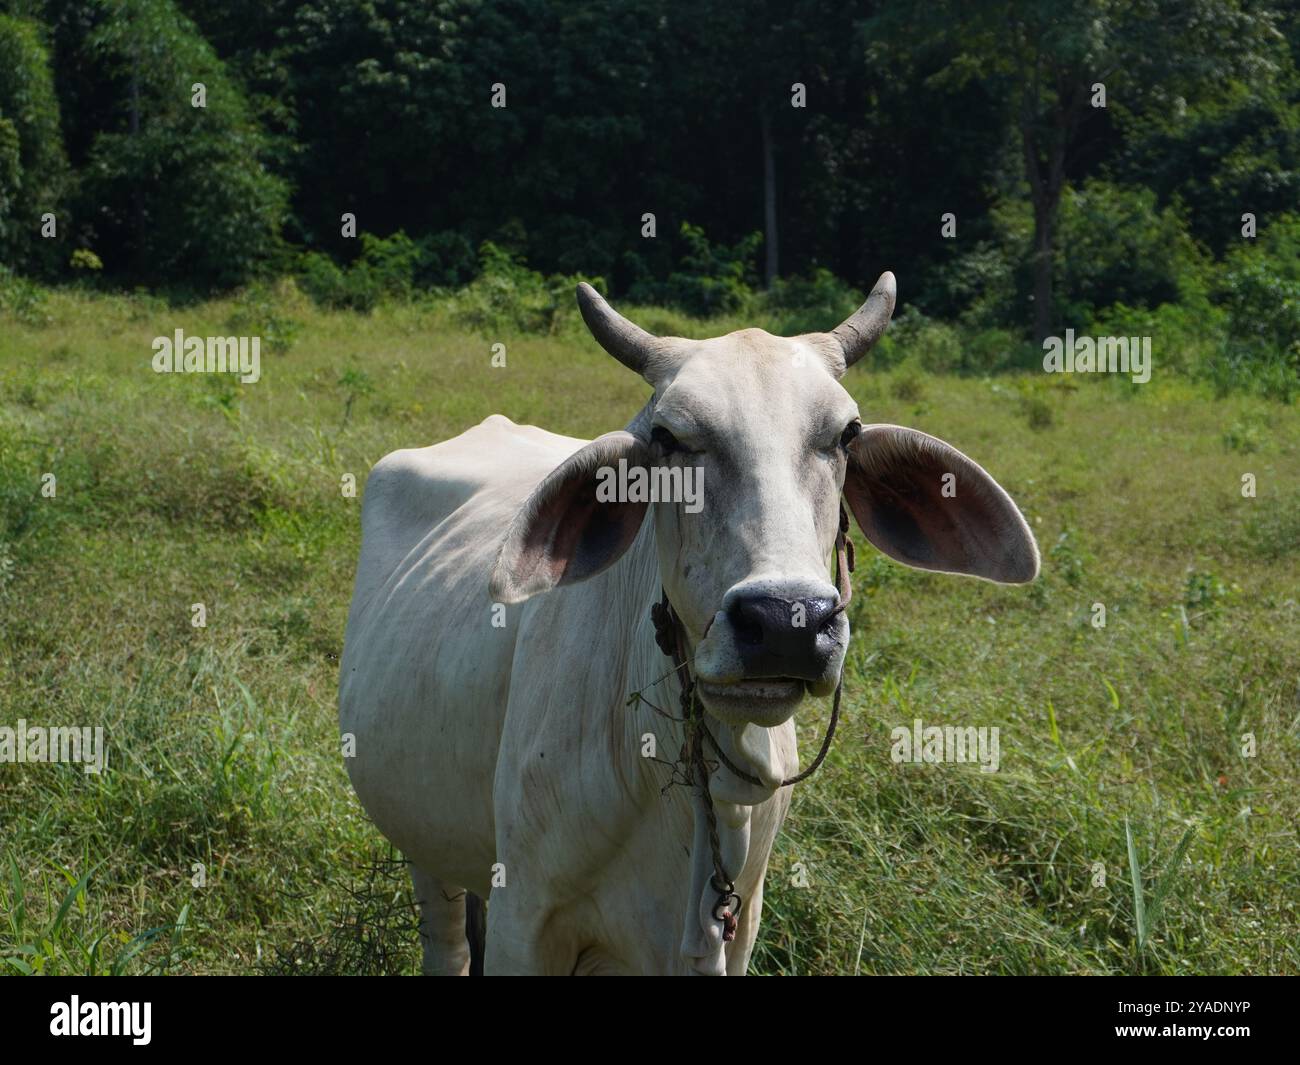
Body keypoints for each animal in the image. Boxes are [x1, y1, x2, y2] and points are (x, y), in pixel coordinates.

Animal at [338, 273, 1039, 975]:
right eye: (668, 438)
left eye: (846, 434)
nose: (786, 623)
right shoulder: (526, 920)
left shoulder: (741, 921)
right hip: (421, 838)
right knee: (447, 941)